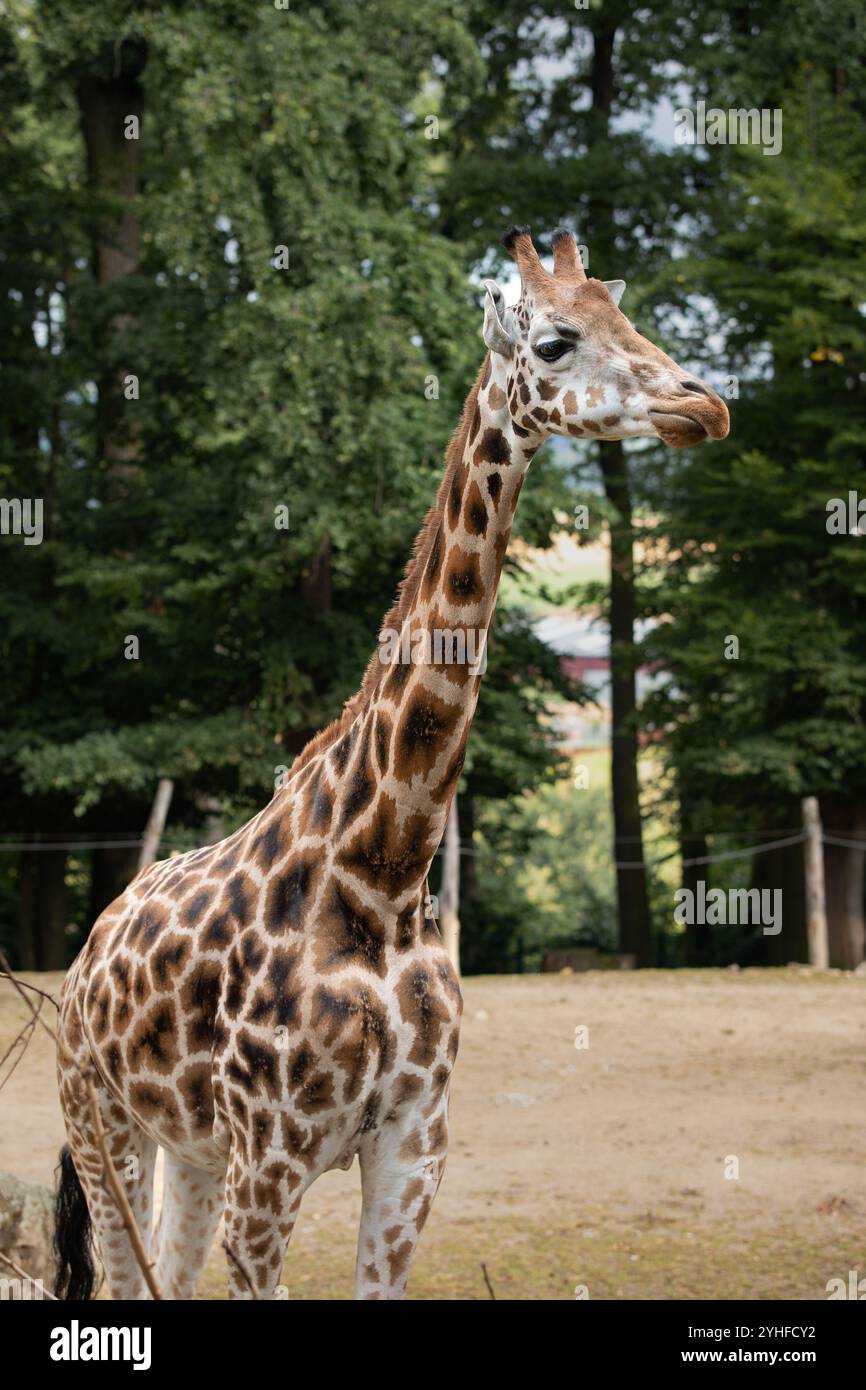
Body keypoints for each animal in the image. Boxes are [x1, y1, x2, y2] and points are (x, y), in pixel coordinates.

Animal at [54, 226, 729, 1301]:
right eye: (554, 342)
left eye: (630, 319)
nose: (703, 404)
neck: (386, 867)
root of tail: (87, 951)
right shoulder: (270, 1164)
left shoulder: (415, 1149)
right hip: (101, 1124)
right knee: (128, 1278)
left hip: (189, 1151)